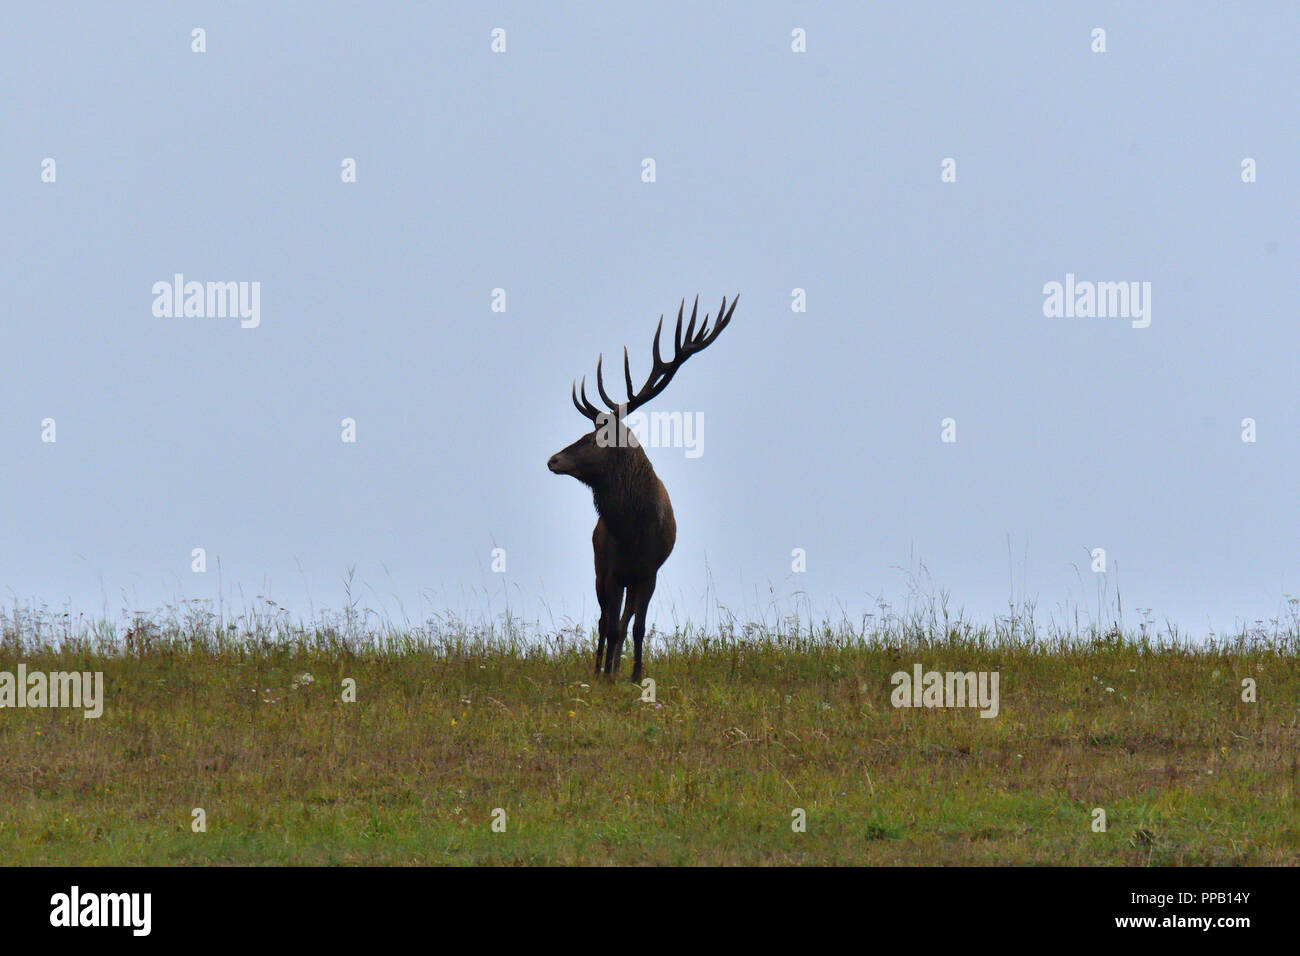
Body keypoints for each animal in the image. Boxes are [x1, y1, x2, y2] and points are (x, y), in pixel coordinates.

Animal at [547, 294, 738, 683]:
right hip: (600, 569)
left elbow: (636, 627)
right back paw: (600, 668)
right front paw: (606, 676)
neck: (632, 528)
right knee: (604, 621)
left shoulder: (648, 572)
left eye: (592, 438)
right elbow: (610, 625)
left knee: (623, 620)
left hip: (632, 580)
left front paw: (635, 676)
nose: (553, 460)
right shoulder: (611, 569)